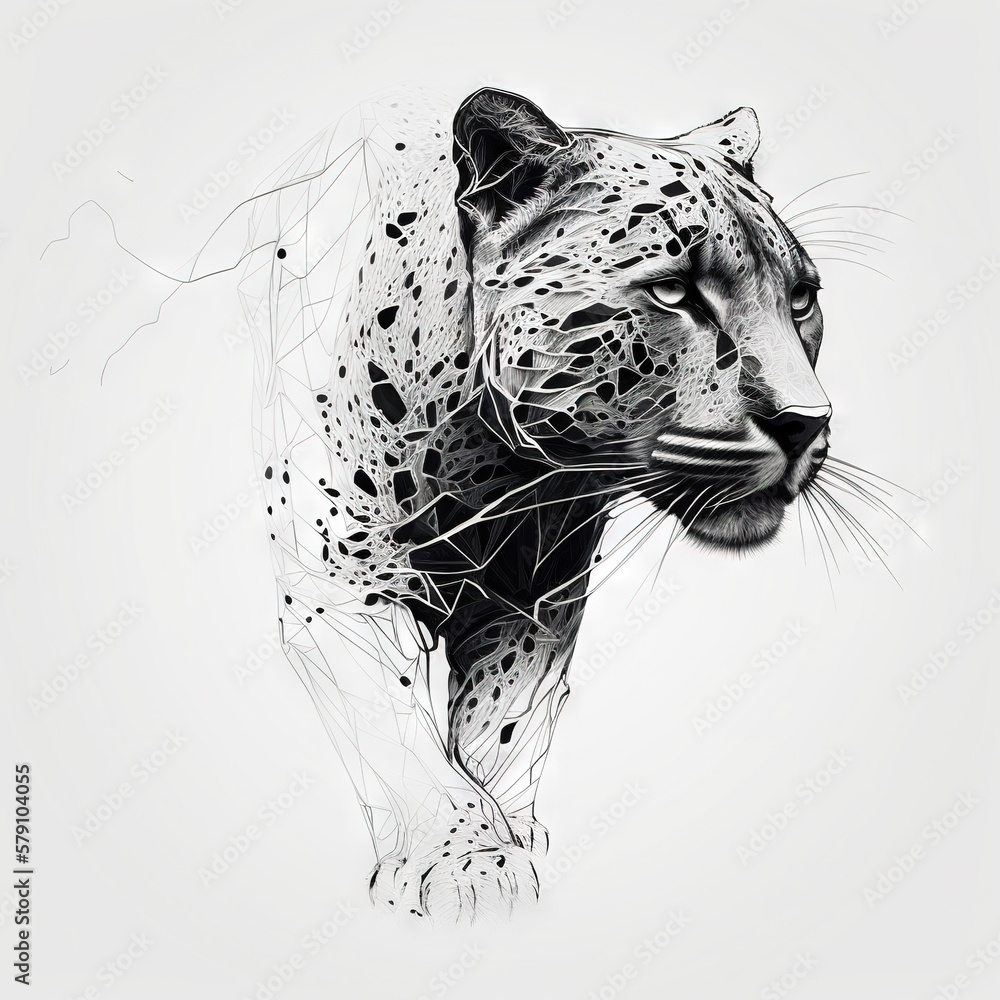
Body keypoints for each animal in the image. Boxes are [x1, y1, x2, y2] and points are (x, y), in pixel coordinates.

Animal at [237, 87, 835, 924]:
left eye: (802, 300)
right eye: (673, 291)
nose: (807, 421)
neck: (488, 463)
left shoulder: (534, 599)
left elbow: (503, 723)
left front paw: (503, 846)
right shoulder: (337, 577)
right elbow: (397, 723)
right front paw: (468, 863)